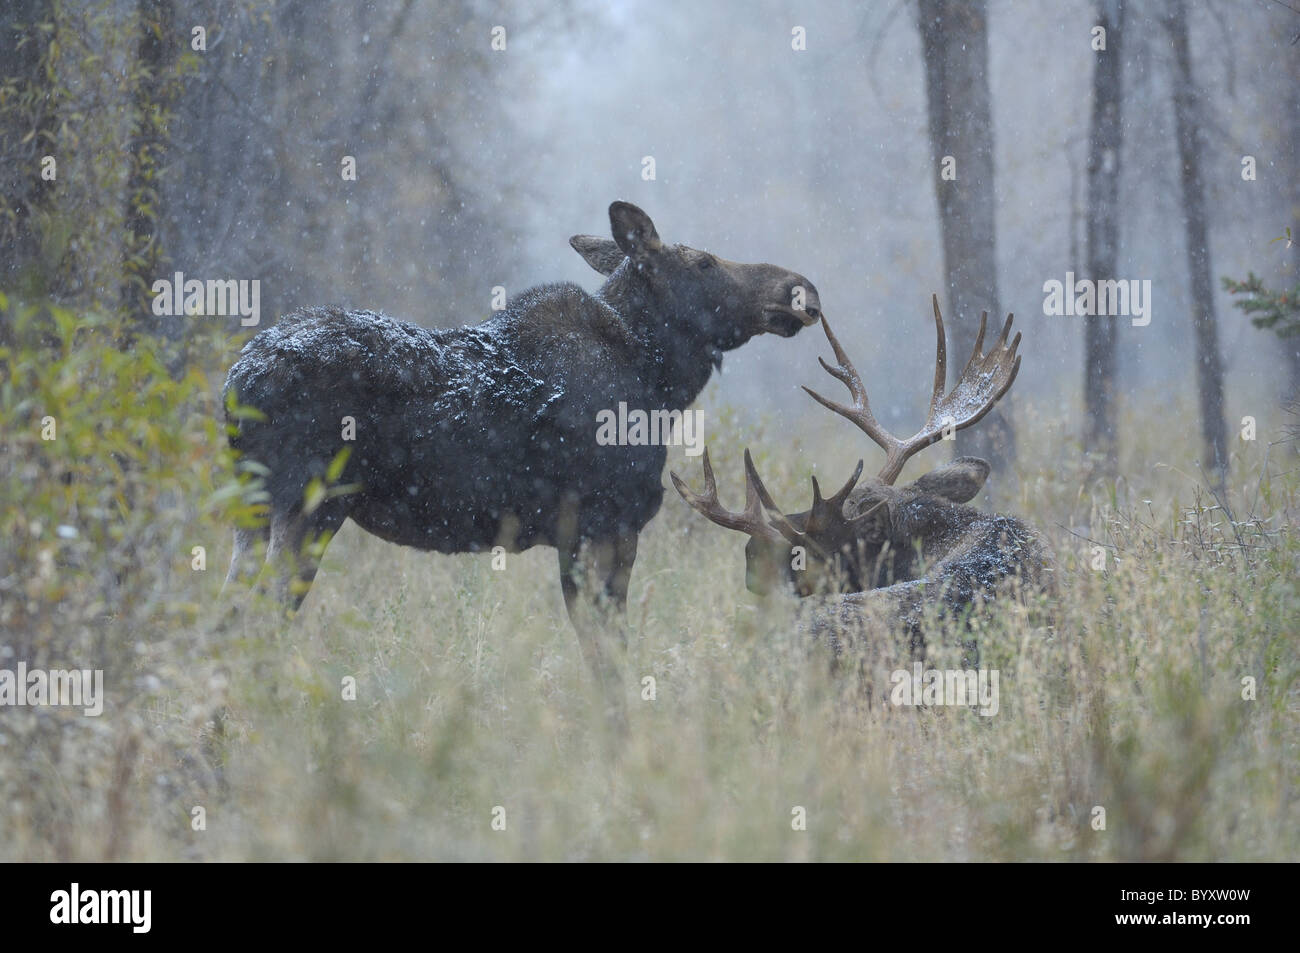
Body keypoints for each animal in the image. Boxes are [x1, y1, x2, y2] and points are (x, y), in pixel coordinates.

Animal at [222, 201, 821, 699]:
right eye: (702, 262)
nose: (802, 289)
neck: (659, 382)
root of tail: (238, 383)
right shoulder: (604, 522)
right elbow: (609, 657)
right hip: (310, 505)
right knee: (259, 620)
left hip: (251, 512)